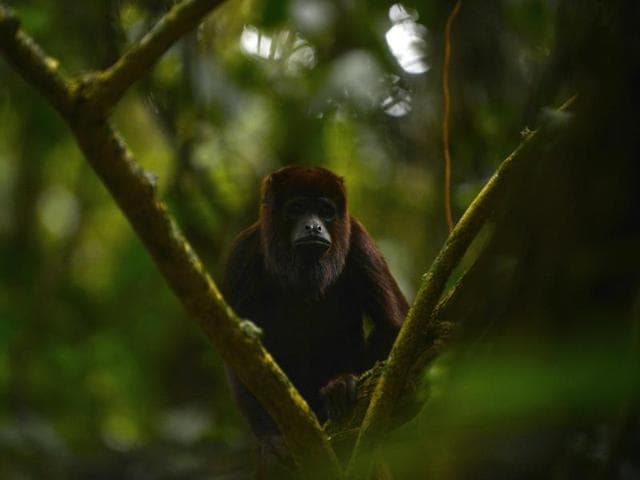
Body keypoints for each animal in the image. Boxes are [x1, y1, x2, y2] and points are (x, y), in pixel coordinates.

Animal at [222, 165, 408, 442]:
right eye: (297, 208)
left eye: (325, 211)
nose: (314, 226)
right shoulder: (242, 255)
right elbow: (237, 356)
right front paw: (273, 439)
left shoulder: (360, 242)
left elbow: (394, 324)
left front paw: (341, 385)